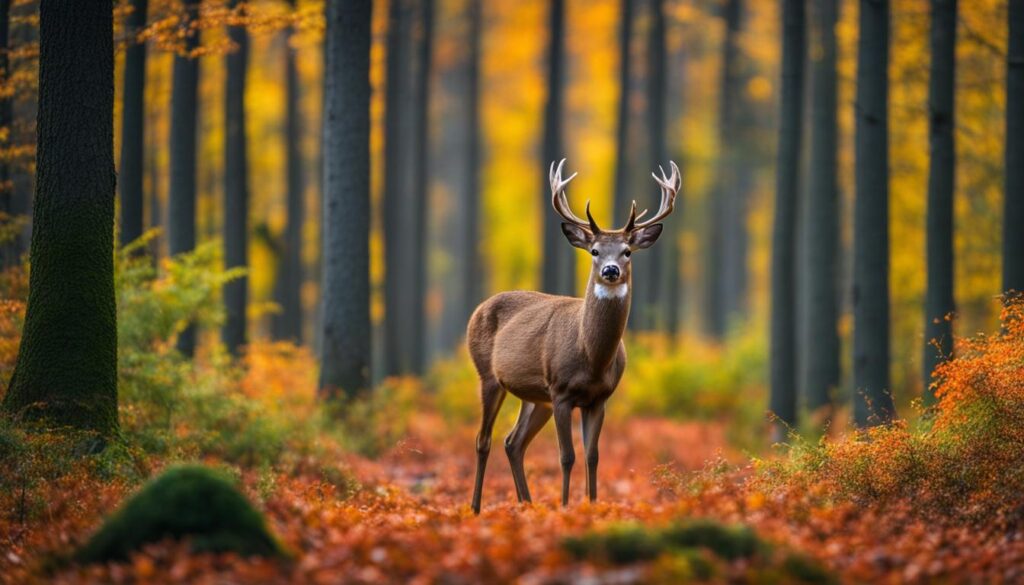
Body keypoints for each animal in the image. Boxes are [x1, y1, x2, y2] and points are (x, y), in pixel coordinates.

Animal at [467, 158, 680, 514]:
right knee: (484, 440)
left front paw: (592, 506)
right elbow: (566, 456)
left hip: (535, 397)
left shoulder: (599, 397)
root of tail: (478, 308)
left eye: (627, 251)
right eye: (594, 251)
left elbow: (593, 456)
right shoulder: (561, 391)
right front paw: (566, 507)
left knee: (513, 442)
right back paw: (475, 508)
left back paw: (527, 504)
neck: (591, 357)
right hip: (490, 376)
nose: (610, 270)